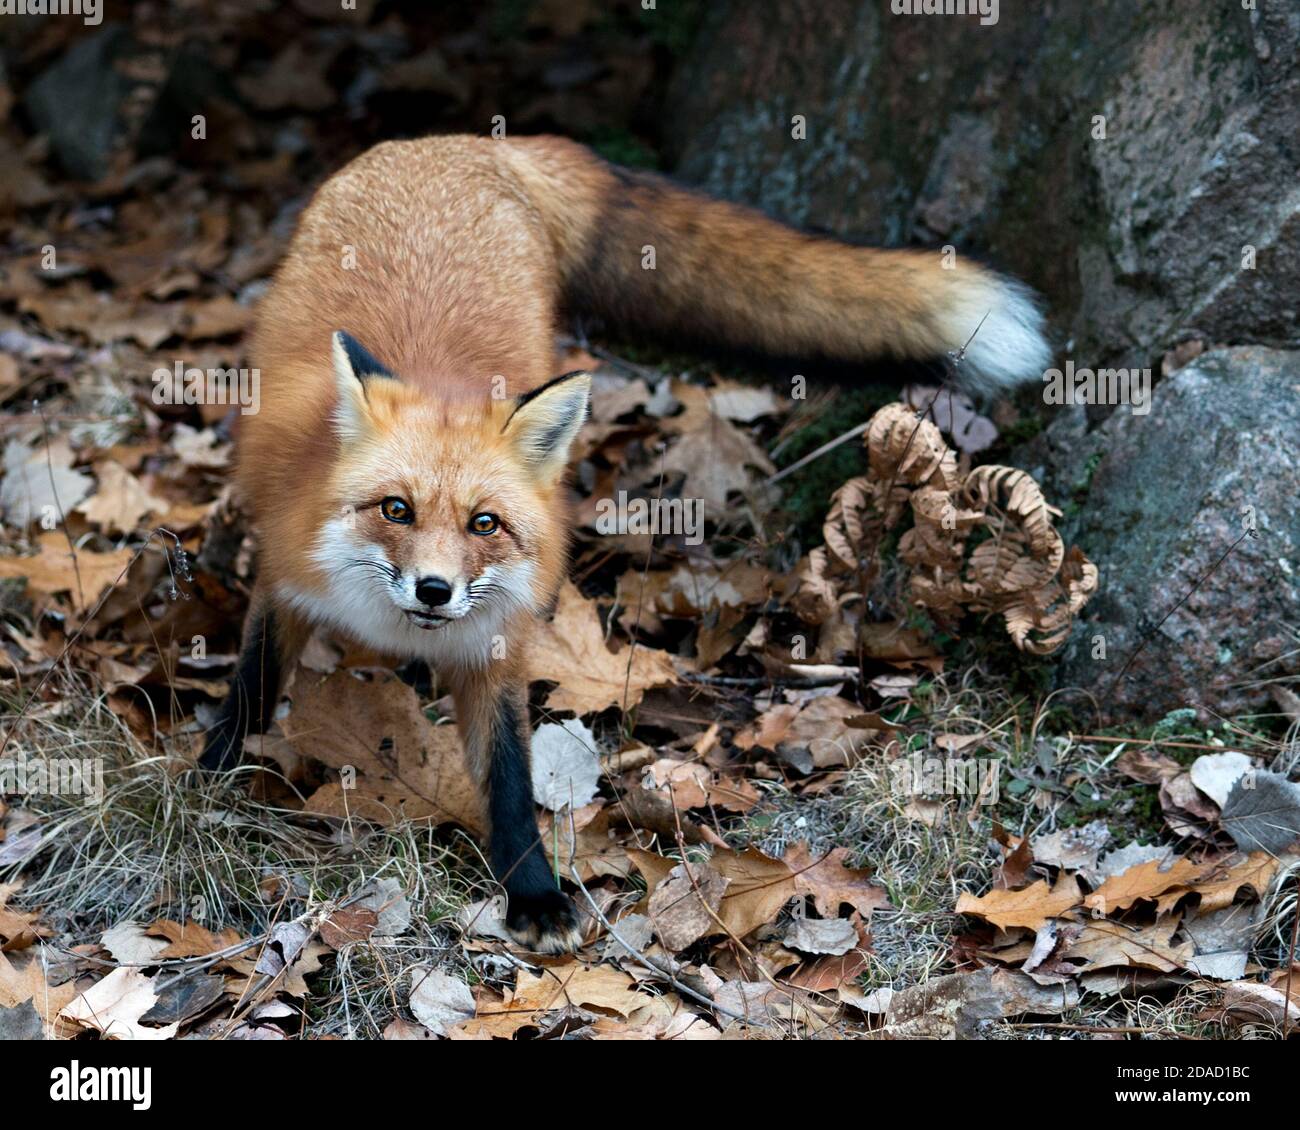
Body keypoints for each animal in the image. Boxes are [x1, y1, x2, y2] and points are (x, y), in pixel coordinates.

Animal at [199, 133, 1050, 952]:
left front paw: (533, 892)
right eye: (396, 510)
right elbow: (253, 683)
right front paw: (209, 782)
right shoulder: (285, 582)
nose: (435, 591)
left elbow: (511, 778)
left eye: (484, 524)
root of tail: (469, 141)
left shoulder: (495, 644)